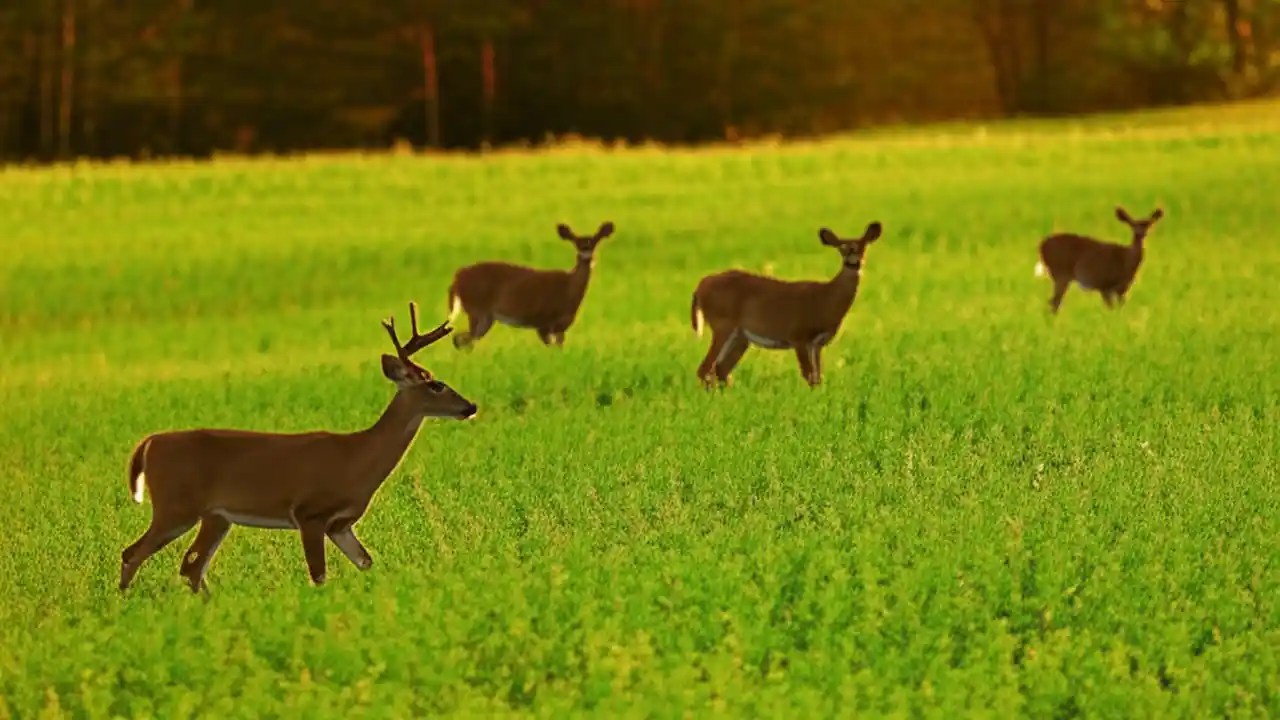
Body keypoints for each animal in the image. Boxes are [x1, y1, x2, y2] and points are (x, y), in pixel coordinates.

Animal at [119, 302, 477, 594]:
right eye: (436, 385)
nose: (470, 406)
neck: (358, 456)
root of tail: (148, 443)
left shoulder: (341, 524)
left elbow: (367, 562)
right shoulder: (309, 513)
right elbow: (318, 575)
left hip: (215, 516)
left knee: (191, 568)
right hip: (175, 506)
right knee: (134, 553)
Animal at [446, 221, 615, 349]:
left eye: (595, 242)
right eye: (576, 243)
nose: (586, 254)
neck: (568, 289)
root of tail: (457, 277)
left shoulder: (561, 326)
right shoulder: (543, 322)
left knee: (462, 339)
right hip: (477, 309)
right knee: (462, 339)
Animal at [690, 221, 883, 388]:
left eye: (864, 247)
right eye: (842, 249)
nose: (854, 262)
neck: (825, 299)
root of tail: (700, 286)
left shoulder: (818, 343)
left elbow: (818, 378)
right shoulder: (799, 336)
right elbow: (809, 376)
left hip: (741, 337)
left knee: (721, 370)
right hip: (722, 325)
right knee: (705, 368)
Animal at [1035, 206, 1165, 314]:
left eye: (1149, 224)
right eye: (1132, 225)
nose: (1141, 233)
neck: (1127, 260)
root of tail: (1042, 246)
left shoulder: (1121, 289)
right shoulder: (1106, 285)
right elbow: (1113, 309)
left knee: (1053, 302)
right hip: (1061, 273)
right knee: (1054, 302)